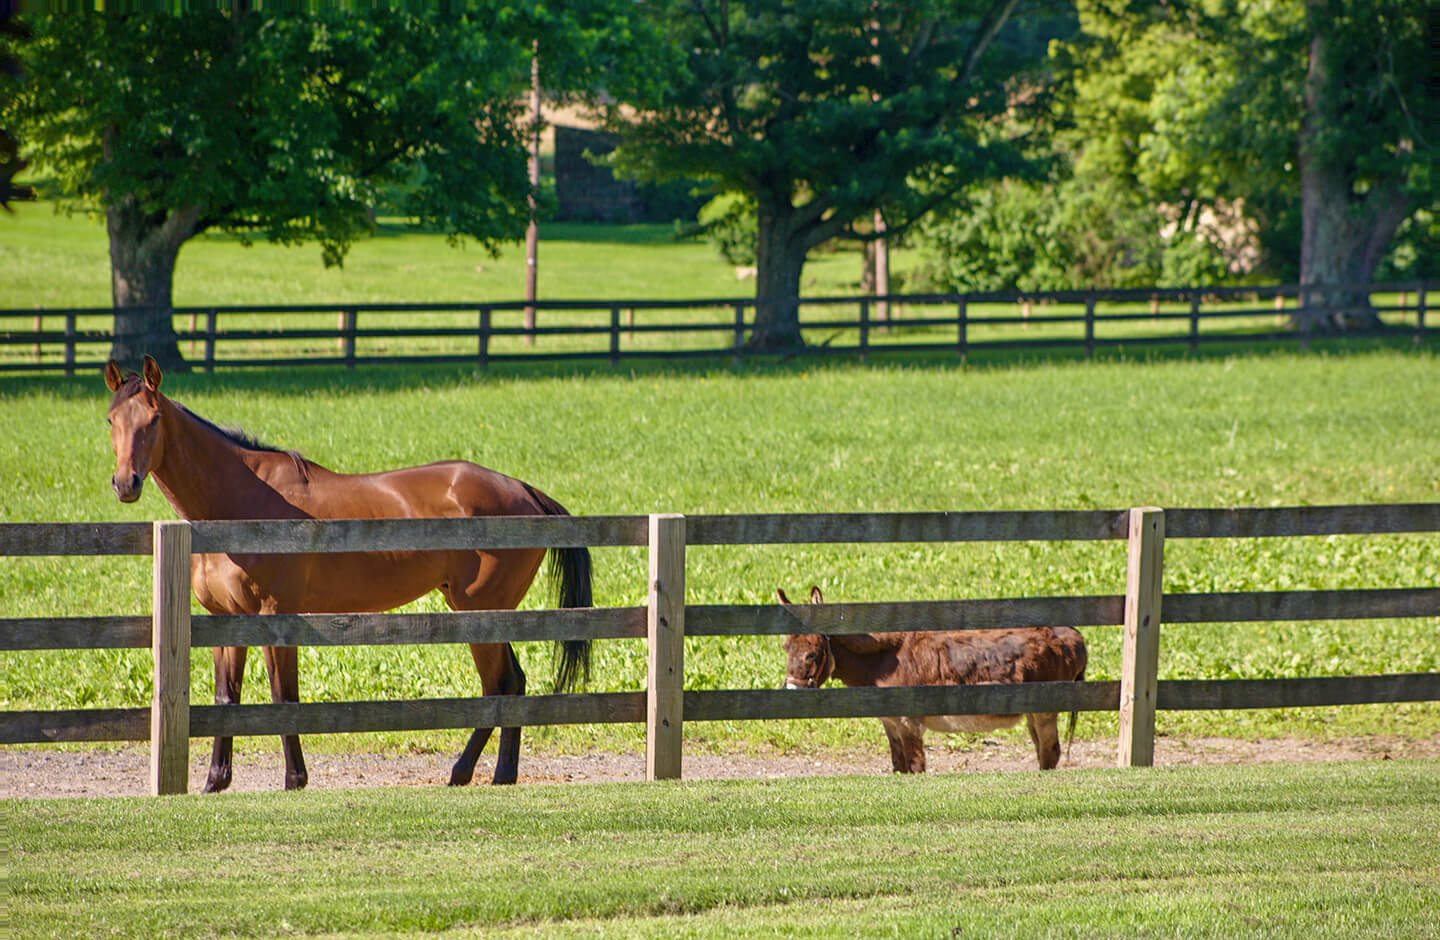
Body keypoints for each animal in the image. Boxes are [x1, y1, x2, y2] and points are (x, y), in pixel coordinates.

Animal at [104, 356, 592, 791]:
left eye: (153, 418)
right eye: (111, 420)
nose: (126, 483)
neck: (240, 502)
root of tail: (525, 491)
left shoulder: (276, 617)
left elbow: (283, 695)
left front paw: (295, 779)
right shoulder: (226, 619)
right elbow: (228, 697)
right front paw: (214, 782)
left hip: (481, 613)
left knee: (501, 684)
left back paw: (471, 772)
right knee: (513, 683)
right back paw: (492, 773)